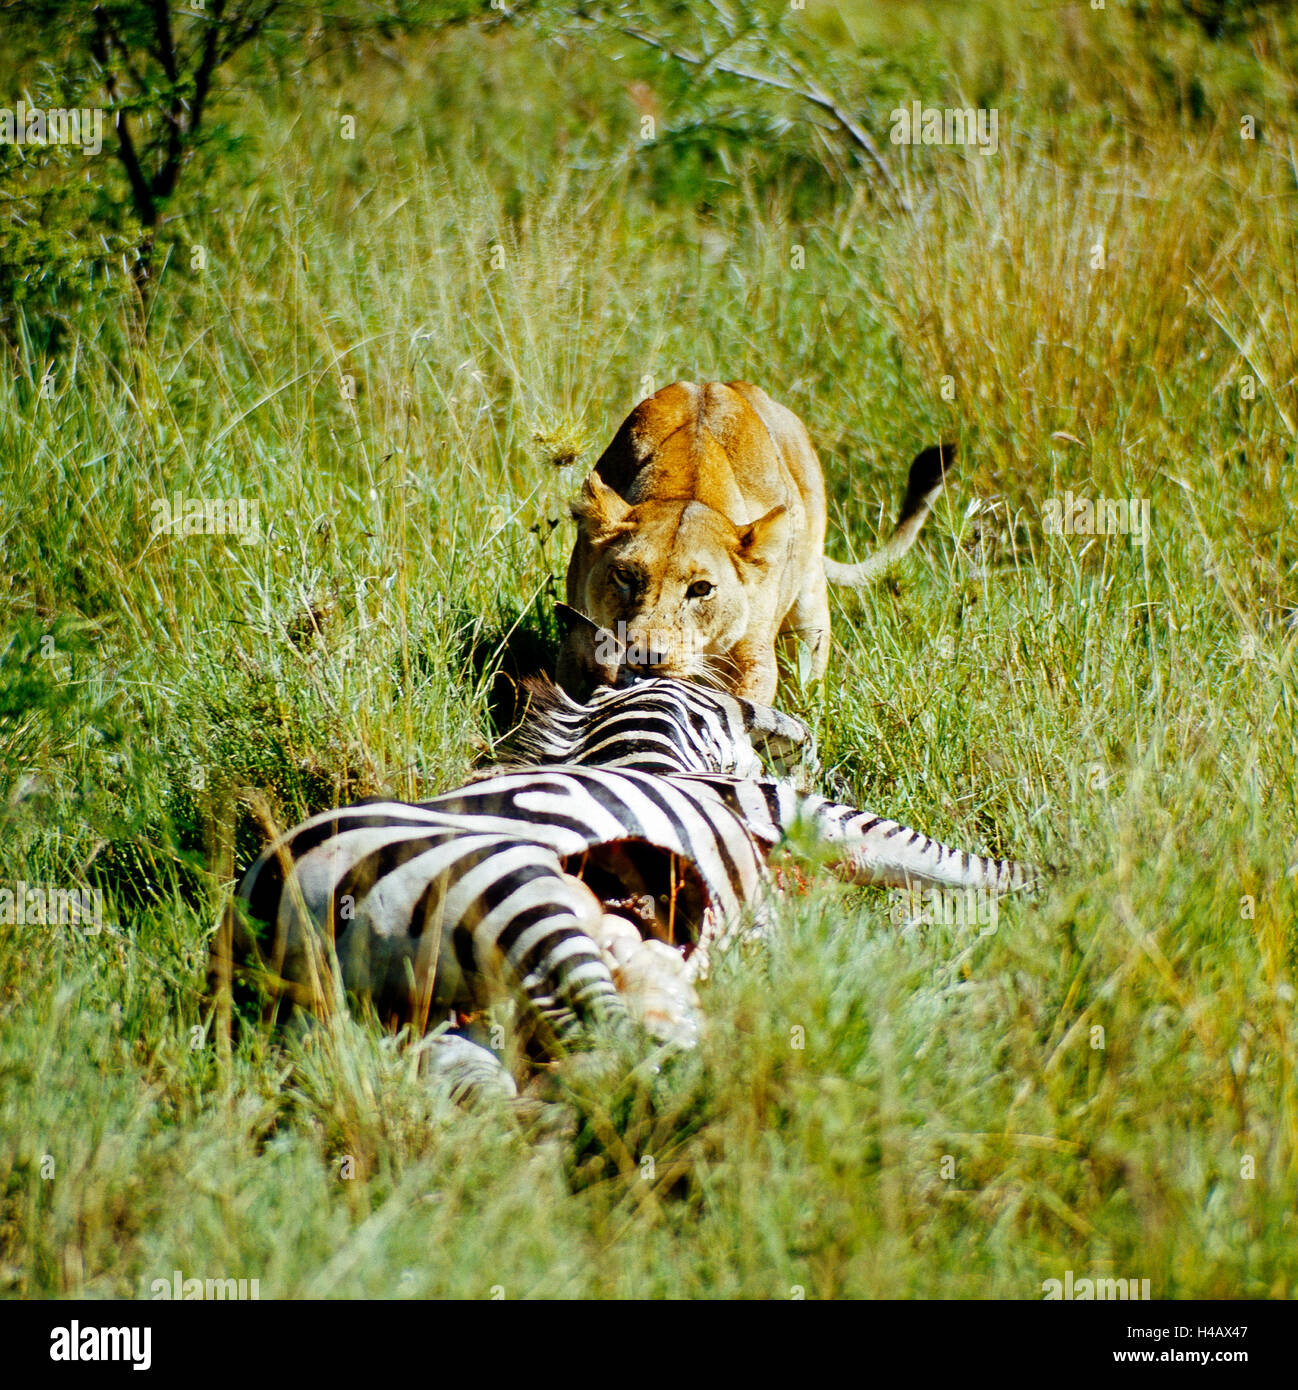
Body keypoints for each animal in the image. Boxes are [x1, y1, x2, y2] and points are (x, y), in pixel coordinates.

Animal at [209, 667, 1040, 1103]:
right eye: (736, 709)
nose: (806, 739)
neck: (656, 763)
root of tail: (261, 900)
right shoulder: (802, 813)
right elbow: (953, 863)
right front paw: (1054, 882)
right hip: (511, 890)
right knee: (606, 1027)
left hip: (420, 1028)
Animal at [559, 380, 953, 702]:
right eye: (626, 576)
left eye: (701, 589)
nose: (645, 655)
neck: (686, 487)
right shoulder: (578, 643)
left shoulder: (753, 659)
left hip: (809, 611)